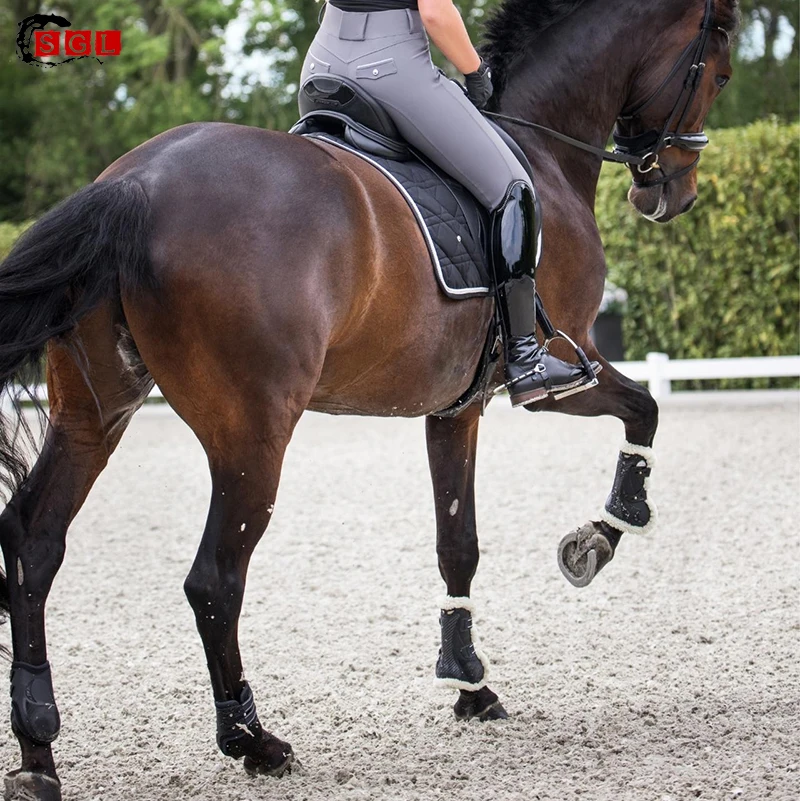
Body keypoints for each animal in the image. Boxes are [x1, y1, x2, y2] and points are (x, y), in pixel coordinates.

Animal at [0, 0, 738, 797]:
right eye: (720, 75)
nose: (670, 195)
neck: (542, 147)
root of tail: (135, 182)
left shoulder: (456, 407)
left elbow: (458, 543)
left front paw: (469, 683)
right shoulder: (566, 368)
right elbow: (646, 410)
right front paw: (601, 535)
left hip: (94, 413)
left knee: (35, 541)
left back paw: (38, 750)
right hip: (252, 436)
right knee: (214, 581)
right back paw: (253, 739)